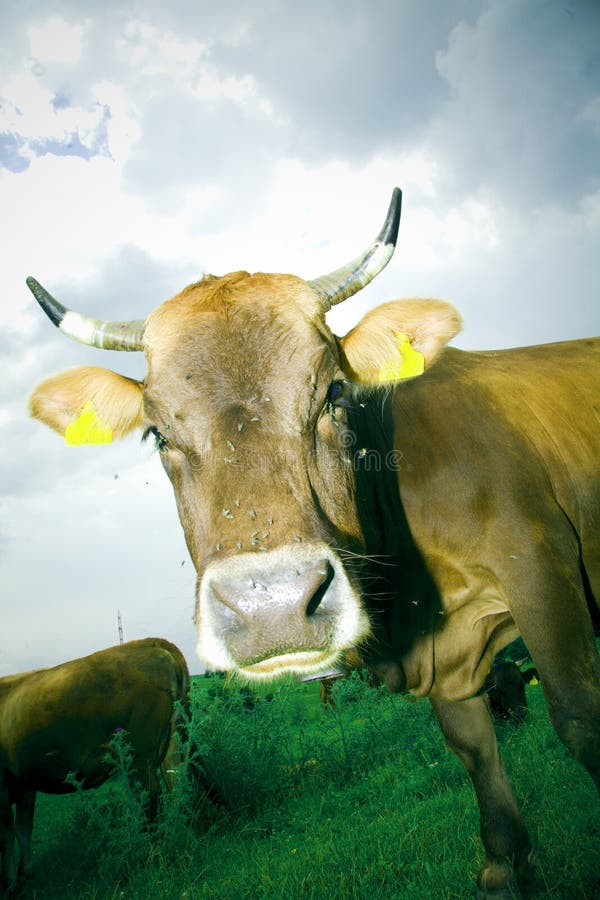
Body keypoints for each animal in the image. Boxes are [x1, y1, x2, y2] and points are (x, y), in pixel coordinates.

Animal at [0, 638, 189, 894]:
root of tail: (147, 644)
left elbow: (7, 833)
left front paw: (10, 883)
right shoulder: (24, 784)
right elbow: (23, 828)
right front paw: (24, 875)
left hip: (139, 758)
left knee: (150, 800)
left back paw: (149, 855)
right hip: (170, 746)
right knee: (177, 788)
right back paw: (177, 835)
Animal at [25, 188, 600, 897]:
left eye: (333, 392)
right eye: (156, 434)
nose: (271, 607)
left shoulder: (542, 566)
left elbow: (578, 719)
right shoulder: (448, 656)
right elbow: (472, 746)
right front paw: (508, 867)